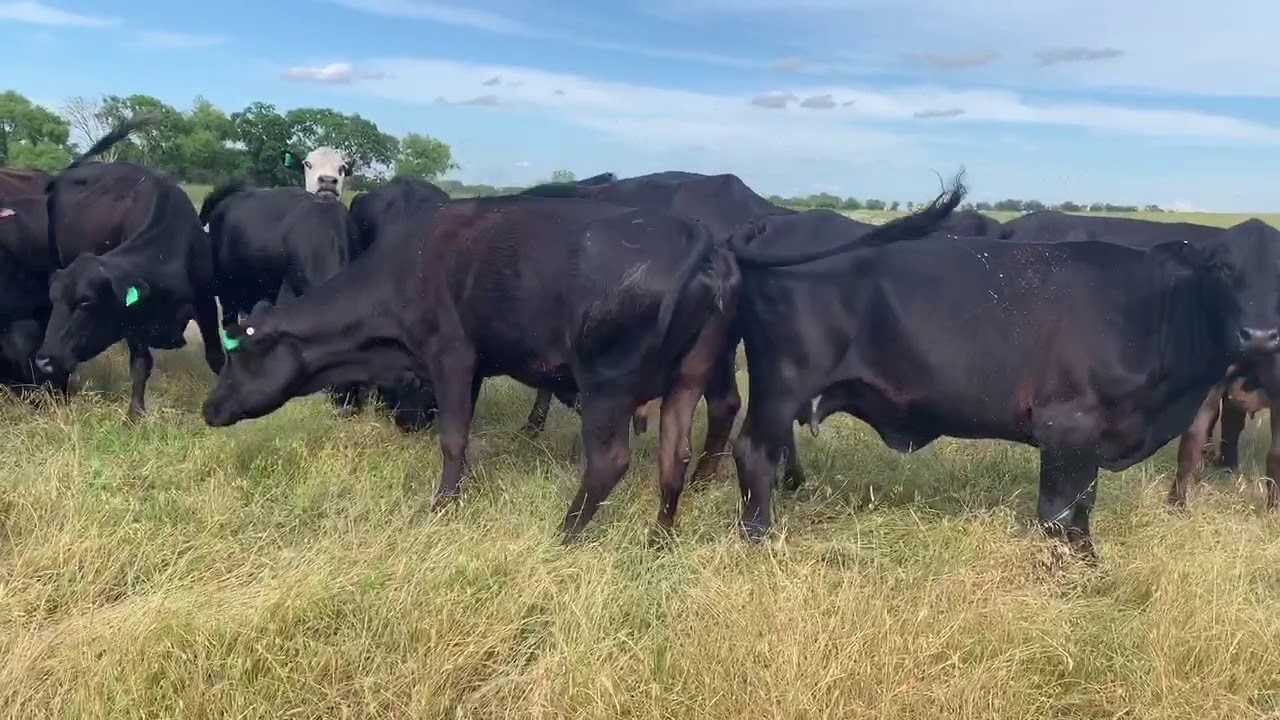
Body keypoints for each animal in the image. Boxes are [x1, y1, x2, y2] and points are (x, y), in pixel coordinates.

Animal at [33, 138, 225, 421]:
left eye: (86, 302)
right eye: (54, 299)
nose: (44, 360)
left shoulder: (206, 300)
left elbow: (216, 356)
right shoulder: (132, 318)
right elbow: (141, 363)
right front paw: (135, 414)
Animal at [202, 194, 755, 543]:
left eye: (240, 354)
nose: (210, 408)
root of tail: (699, 241)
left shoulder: (451, 354)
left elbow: (453, 437)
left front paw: (442, 505)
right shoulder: (473, 368)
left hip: (607, 385)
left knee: (610, 461)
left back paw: (566, 534)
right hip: (687, 379)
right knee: (674, 457)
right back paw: (659, 539)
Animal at [729, 207, 1280, 560]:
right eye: (1223, 269)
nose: (1259, 335)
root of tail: (776, 223)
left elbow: (1082, 506)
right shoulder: (1067, 425)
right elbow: (1061, 511)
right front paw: (1079, 569)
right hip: (782, 384)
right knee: (753, 453)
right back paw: (759, 542)